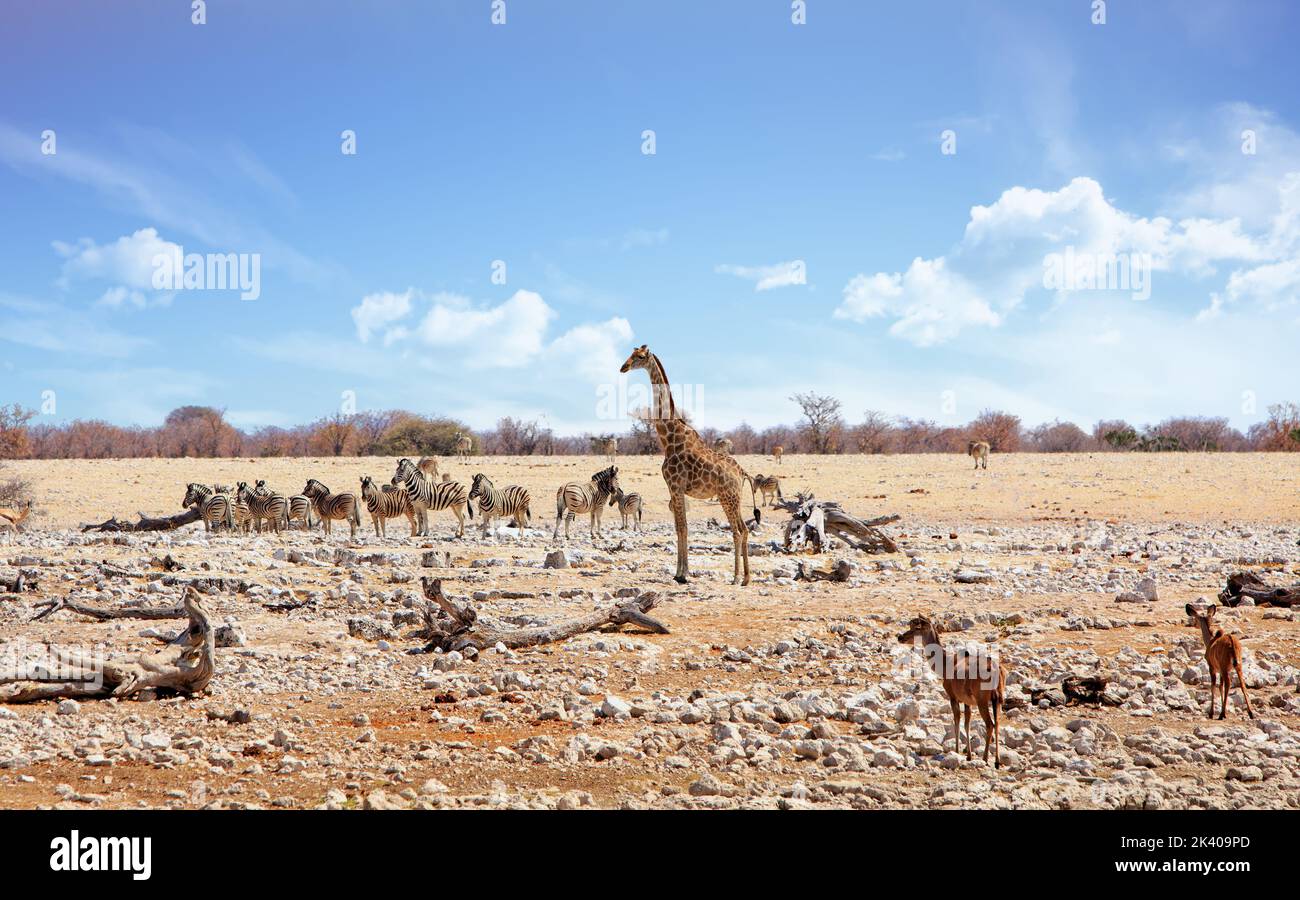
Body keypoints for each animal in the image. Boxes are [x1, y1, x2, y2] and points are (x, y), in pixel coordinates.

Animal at [619, 344, 760, 586]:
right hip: (734, 498)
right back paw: (746, 578)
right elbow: (679, 528)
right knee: (744, 529)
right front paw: (679, 572)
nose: (623, 367)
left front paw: (683, 574)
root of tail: (742, 472)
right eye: (631, 353)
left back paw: (735, 577)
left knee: (738, 531)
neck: (668, 438)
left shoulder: (676, 486)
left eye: (640, 356)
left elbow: (683, 528)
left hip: (727, 497)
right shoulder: (674, 488)